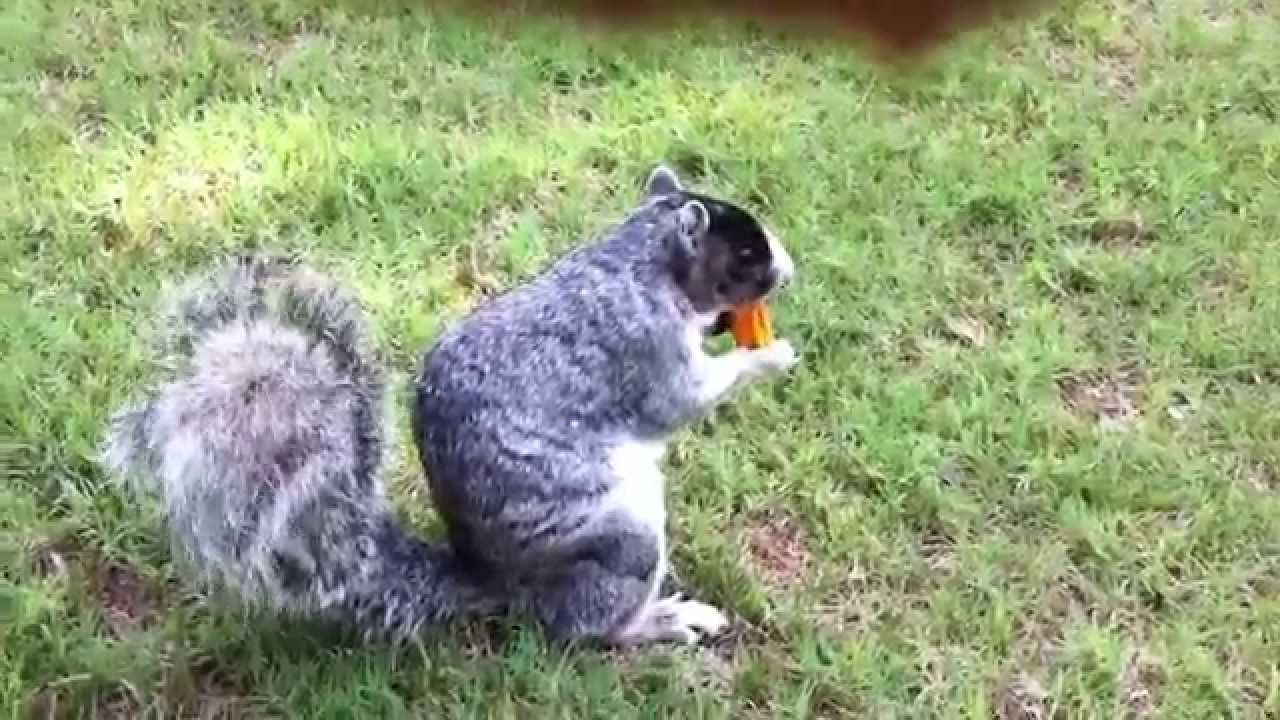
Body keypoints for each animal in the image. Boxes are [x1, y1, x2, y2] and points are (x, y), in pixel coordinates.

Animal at [102, 165, 797, 645]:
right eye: (744, 255)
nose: (787, 269)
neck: (639, 261)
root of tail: (495, 583)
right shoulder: (640, 343)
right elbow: (680, 399)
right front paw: (770, 356)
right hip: (619, 541)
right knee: (584, 626)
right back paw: (657, 622)